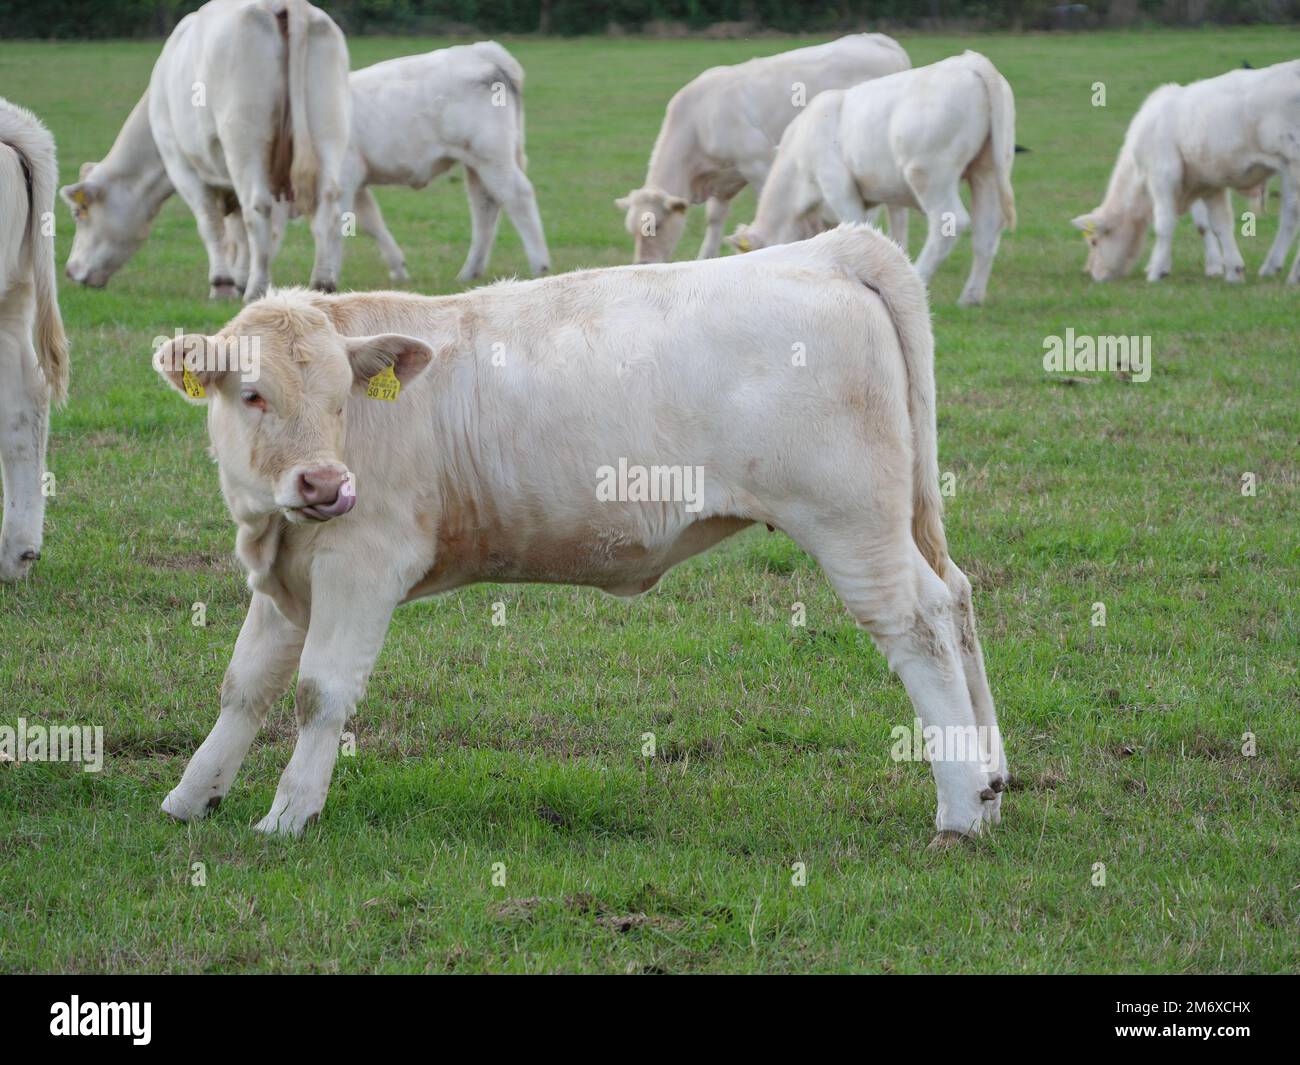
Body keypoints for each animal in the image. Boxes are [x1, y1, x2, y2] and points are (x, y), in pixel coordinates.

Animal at [60, 0, 351, 301]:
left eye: (78, 213)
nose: (70, 270)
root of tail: (281, 6)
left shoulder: (181, 165)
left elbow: (211, 223)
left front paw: (223, 283)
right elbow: (239, 231)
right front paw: (239, 277)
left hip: (244, 143)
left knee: (258, 208)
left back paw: (256, 289)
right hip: (329, 130)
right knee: (327, 203)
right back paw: (322, 284)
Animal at [151, 224, 1007, 847]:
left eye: (339, 398)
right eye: (252, 393)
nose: (326, 485)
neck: (275, 529)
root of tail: (829, 248)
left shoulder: (363, 565)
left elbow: (318, 691)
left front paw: (288, 812)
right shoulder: (287, 580)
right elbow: (243, 685)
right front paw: (191, 794)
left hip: (853, 528)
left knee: (922, 624)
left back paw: (960, 808)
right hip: (894, 523)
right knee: (959, 601)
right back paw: (990, 778)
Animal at [616, 33, 910, 263]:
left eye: (657, 225)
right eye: (631, 230)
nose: (642, 263)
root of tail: (882, 41)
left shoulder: (757, 162)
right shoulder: (724, 180)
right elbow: (714, 219)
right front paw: (705, 257)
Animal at [727, 51, 1017, 308]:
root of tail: (971, 62)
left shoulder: (838, 187)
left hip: (928, 174)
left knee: (950, 222)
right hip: (986, 172)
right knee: (986, 228)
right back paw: (971, 297)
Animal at [1073, 60, 1300, 284]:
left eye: (1094, 242)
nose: (1092, 273)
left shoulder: (1163, 175)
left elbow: (1164, 223)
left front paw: (1156, 271)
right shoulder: (1210, 184)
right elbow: (1219, 225)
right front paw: (1233, 271)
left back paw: (1287, 272)